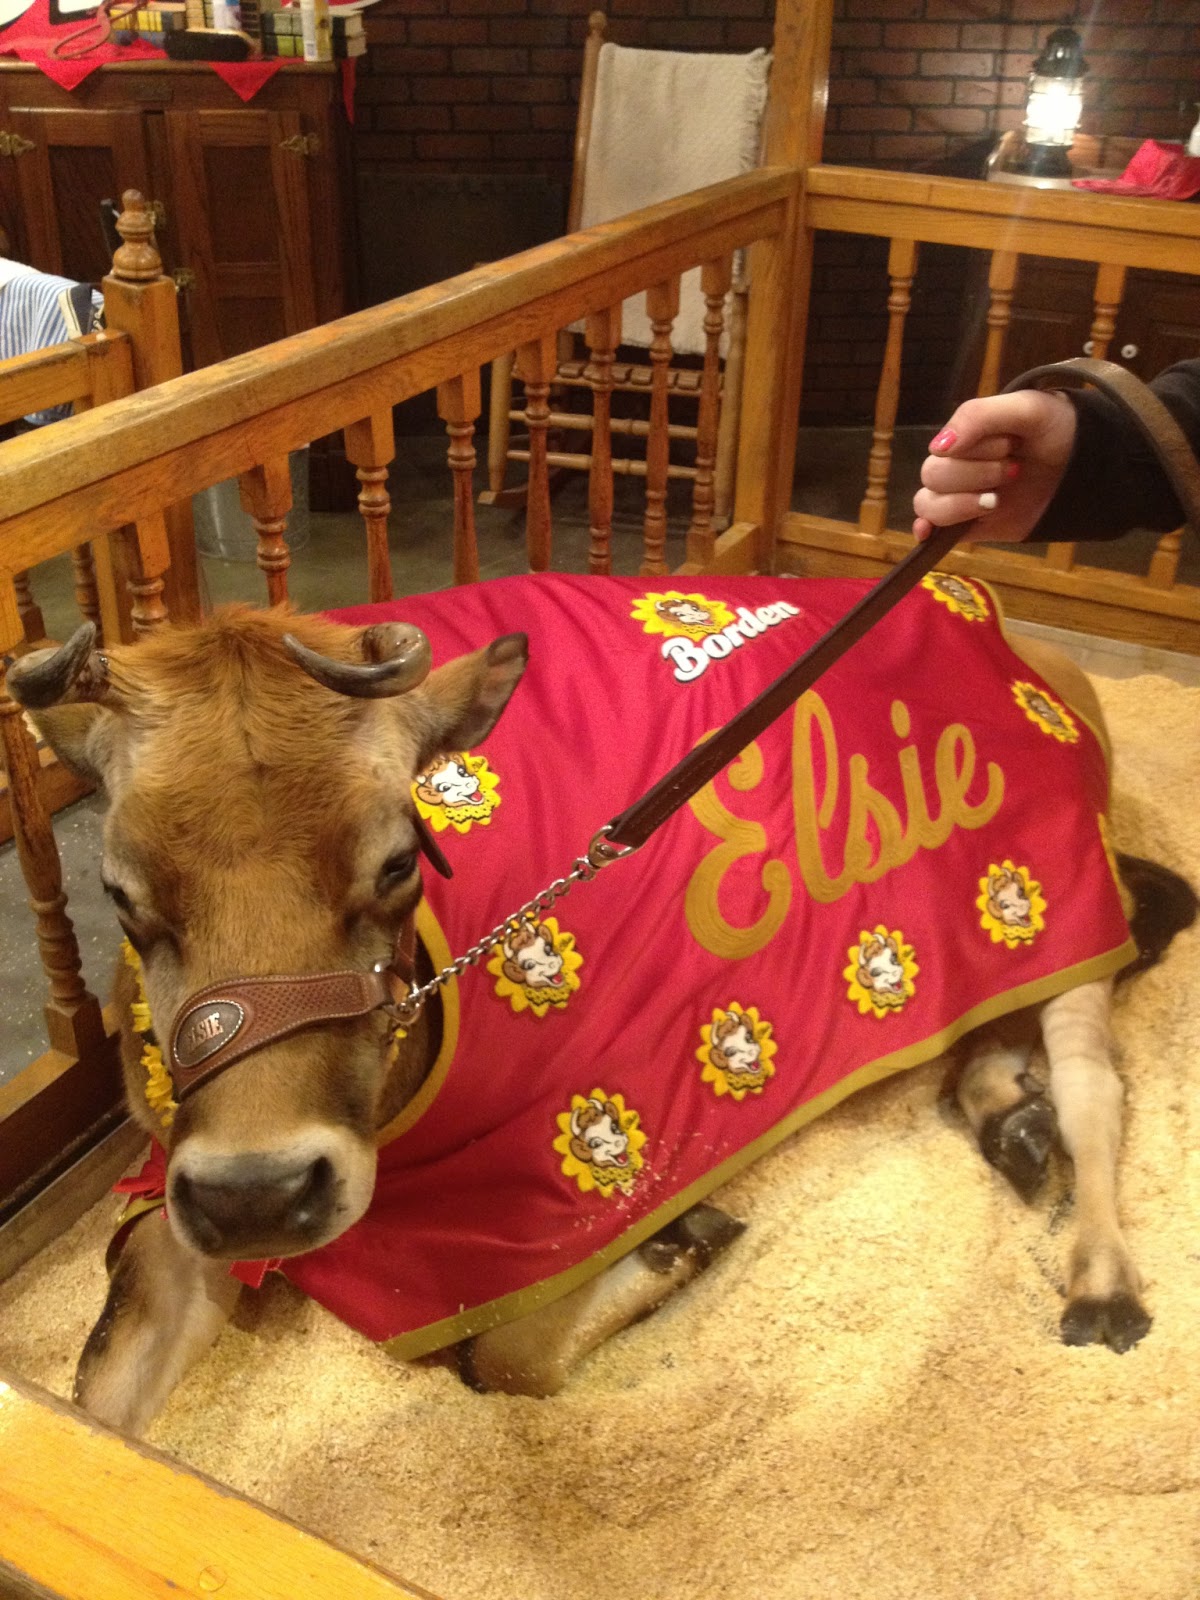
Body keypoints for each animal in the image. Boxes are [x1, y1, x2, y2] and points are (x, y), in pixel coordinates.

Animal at [8, 573, 1194, 1439]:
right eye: (118, 890)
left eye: (397, 859)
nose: (260, 1192)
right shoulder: (180, 1193)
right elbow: (96, 1407)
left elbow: (506, 1354)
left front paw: (682, 1240)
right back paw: (1010, 1116)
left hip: (1055, 887)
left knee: (1094, 1076)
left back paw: (1099, 1273)